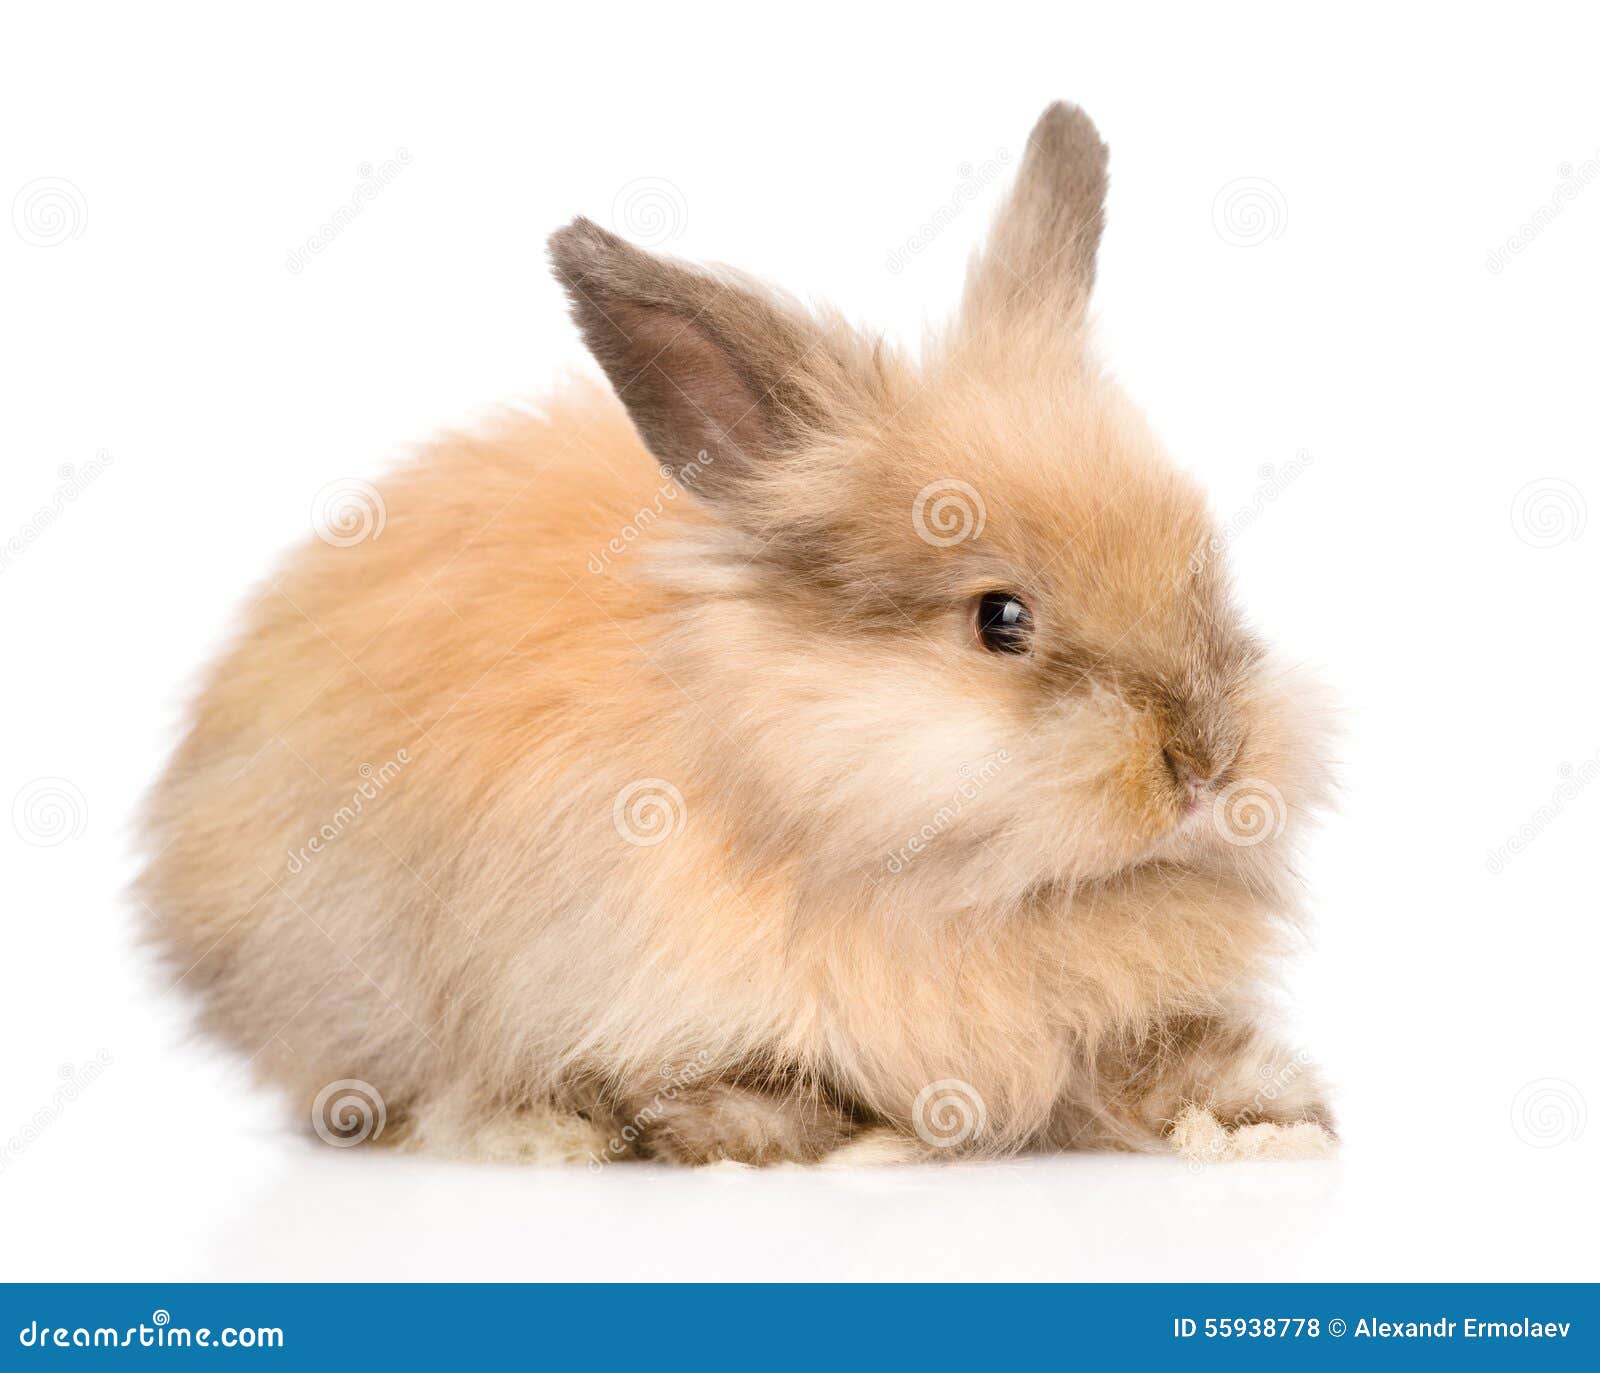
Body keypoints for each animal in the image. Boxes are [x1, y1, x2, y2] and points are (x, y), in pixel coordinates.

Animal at [137, 102, 1335, 1167]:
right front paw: (792, 1139)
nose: (1206, 763)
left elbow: (1170, 1057)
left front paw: (1272, 1119)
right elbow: (725, 1088)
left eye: (1203, 572)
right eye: (1001, 619)